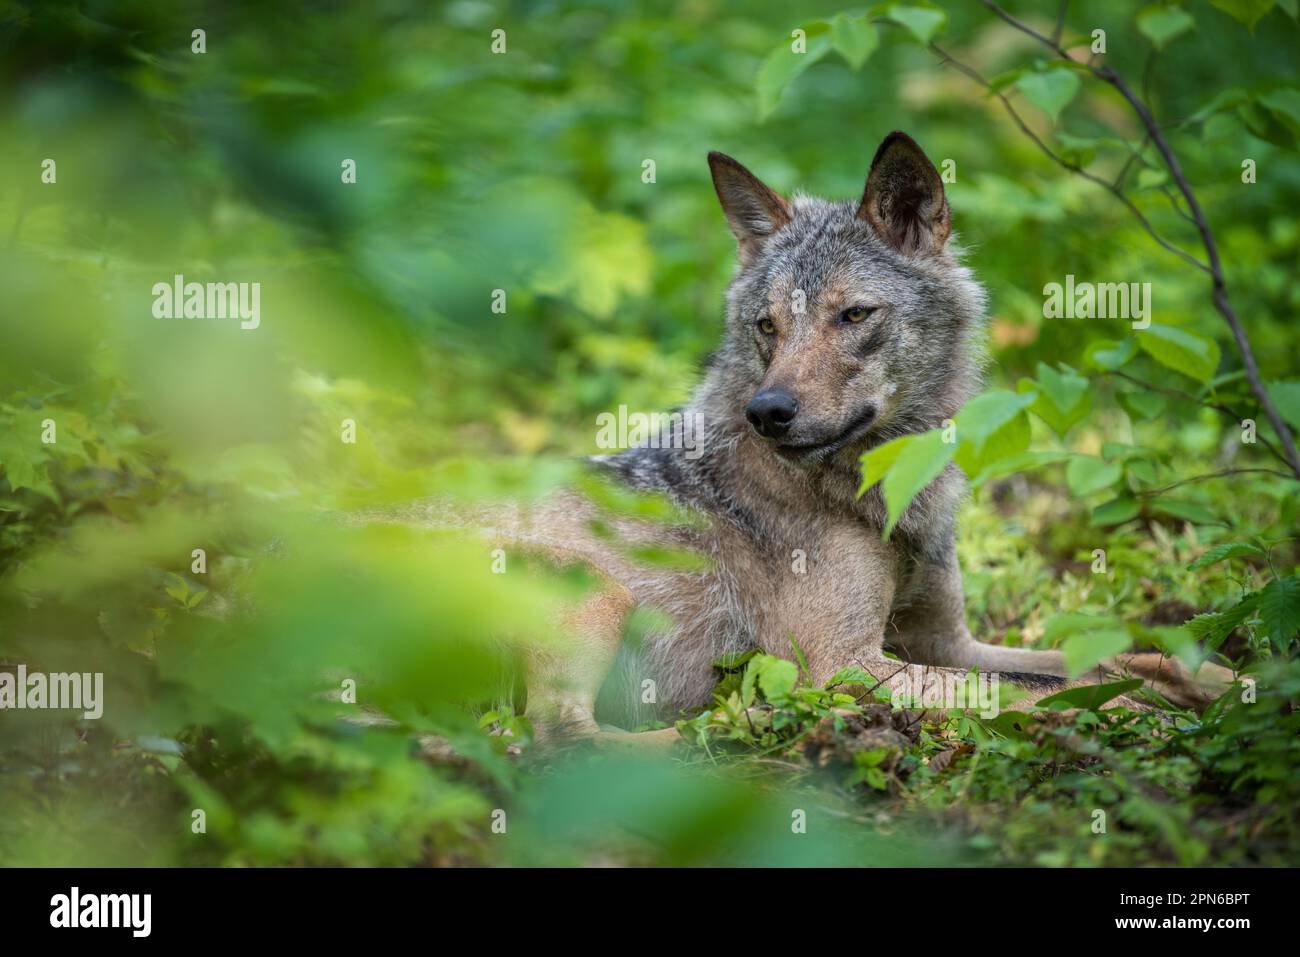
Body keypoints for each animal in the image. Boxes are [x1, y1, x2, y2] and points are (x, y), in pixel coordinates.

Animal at [379, 131, 1232, 745]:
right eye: (768, 326)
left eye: (852, 315)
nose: (769, 411)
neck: (884, 500)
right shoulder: (852, 664)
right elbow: (1064, 688)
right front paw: (1150, 714)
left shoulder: (949, 644)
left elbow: (1110, 654)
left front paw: (1221, 677)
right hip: (590, 591)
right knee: (557, 737)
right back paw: (729, 728)